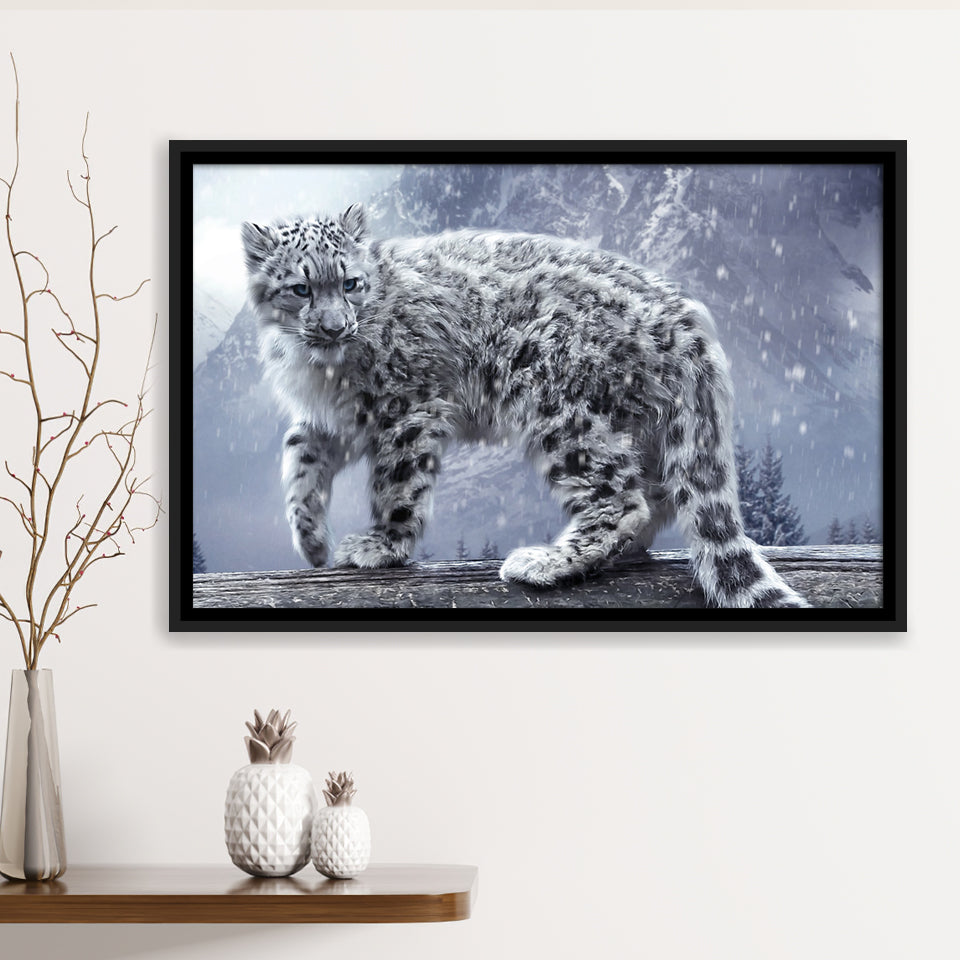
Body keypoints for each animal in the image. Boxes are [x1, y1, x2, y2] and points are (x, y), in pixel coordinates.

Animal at [241, 203, 808, 608]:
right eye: (301, 288)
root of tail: (685, 320)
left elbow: (396, 482)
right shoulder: (330, 418)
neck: (319, 369)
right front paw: (311, 541)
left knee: (625, 497)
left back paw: (546, 562)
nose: (336, 327)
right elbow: (299, 457)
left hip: (562, 410)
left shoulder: (407, 408)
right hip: (641, 424)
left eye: (351, 283)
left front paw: (380, 547)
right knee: (661, 493)